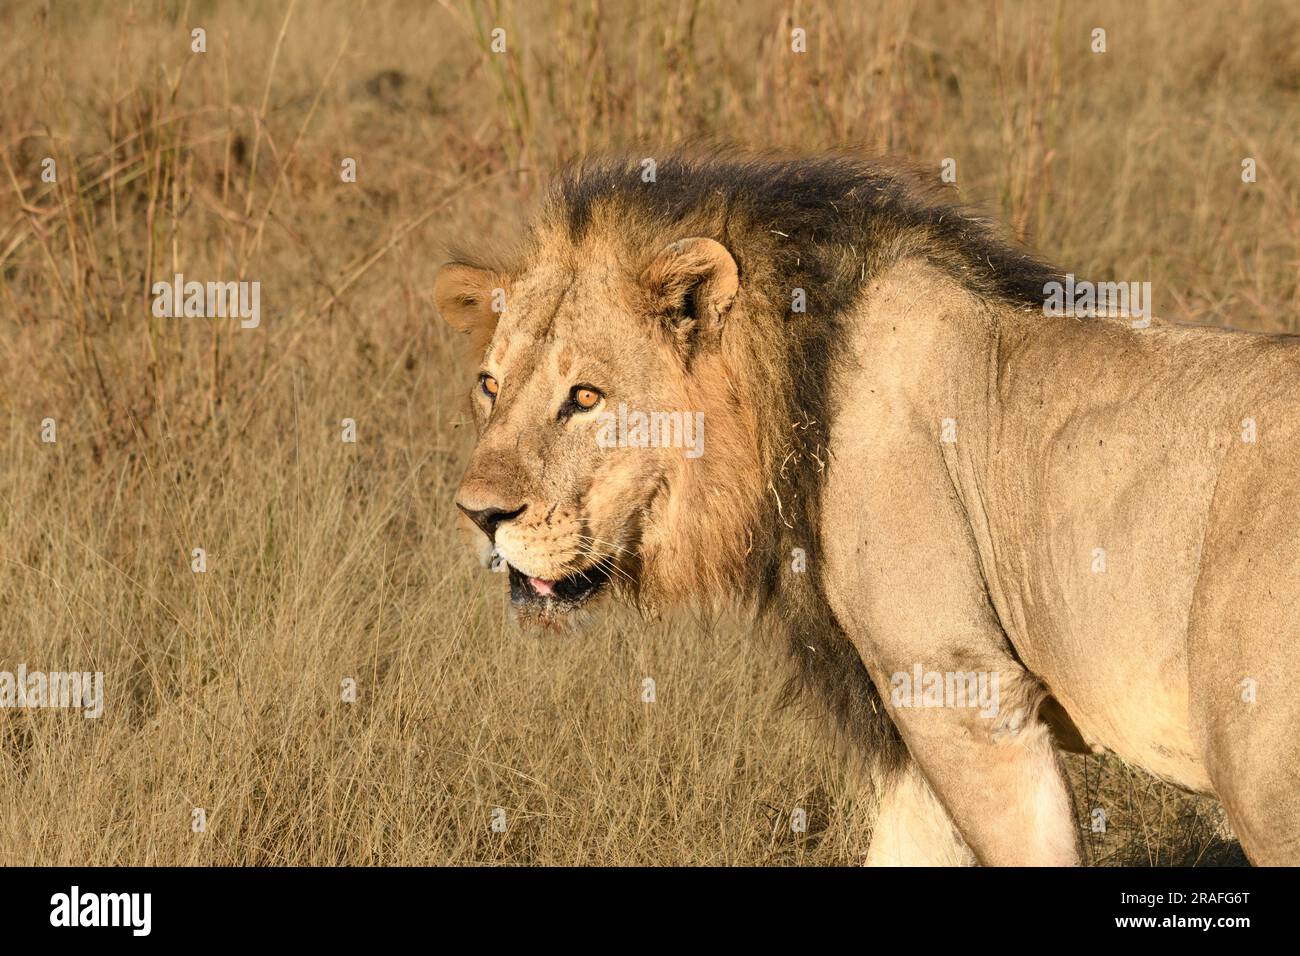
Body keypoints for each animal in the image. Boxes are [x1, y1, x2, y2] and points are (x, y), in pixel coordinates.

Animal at [434, 151, 1300, 866]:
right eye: (488, 385)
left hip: (1261, 780)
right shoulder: (910, 729)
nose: (478, 515)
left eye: (585, 398)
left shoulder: (959, 683)